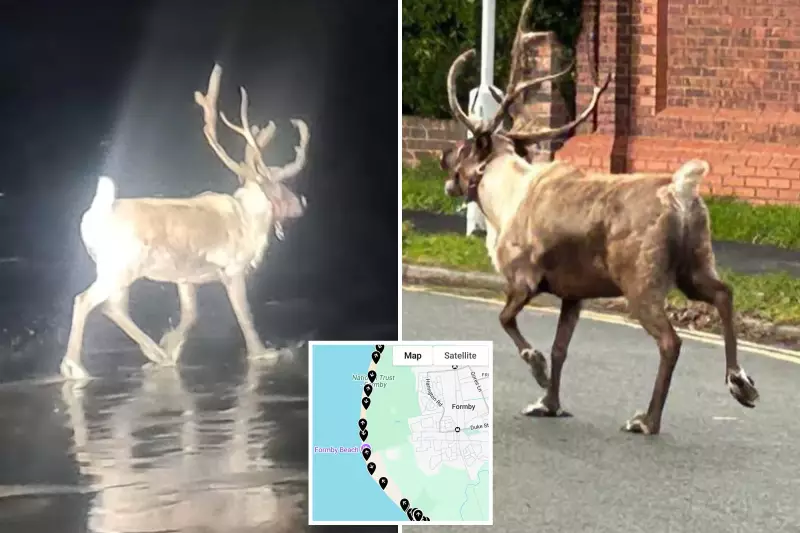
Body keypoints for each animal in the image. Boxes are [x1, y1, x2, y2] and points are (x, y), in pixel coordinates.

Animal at [60, 63, 310, 380]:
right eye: (282, 186)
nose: (301, 204)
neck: (250, 220)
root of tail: (93, 215)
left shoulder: (186, 277)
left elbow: (191, 315)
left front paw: (171, 345)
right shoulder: (233, 269)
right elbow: (245, 315)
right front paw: (263, 352)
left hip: (117, 271)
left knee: (113, 308)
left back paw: (156, 353)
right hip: (120, 268)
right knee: (86, 301)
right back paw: (75, 366)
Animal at [438, 0, 759, 435]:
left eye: (467, 145)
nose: (442, 157)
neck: (502, 200)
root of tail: (681, 191)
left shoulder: (524, 279)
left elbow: (506, 321)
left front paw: (537, 370)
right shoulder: (573, 293)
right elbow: (560, 348)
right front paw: (549, 403)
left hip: (641, 281)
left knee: (670, 341)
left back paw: (648, 420)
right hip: (694, 265)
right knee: (724, 293)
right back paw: (740, 383)